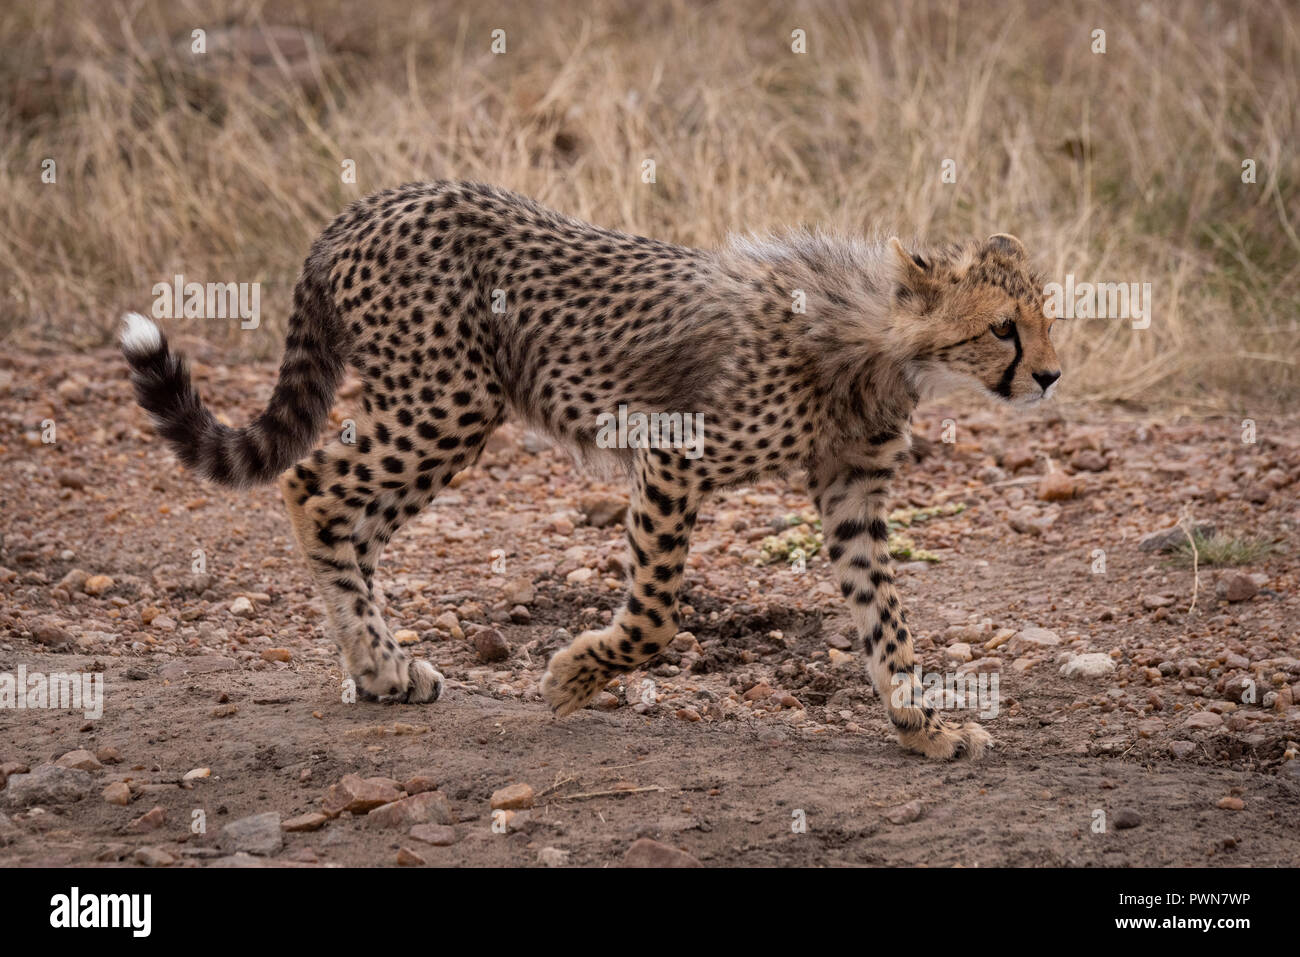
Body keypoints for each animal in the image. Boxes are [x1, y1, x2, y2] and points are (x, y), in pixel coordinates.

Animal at [120, 180, 1061, 760]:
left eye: (1047, 317)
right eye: (1003, 327)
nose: (1052, 375)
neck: (873, 336)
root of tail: (369, 203)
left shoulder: (851, 493)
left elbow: (887, 624)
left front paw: (924, 727)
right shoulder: (674, 453)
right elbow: (656, 613)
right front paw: (572, 676)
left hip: (445, 413)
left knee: (353, 518)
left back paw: (380, 670)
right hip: (448, 401)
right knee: (313, 488)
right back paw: (381, 666)